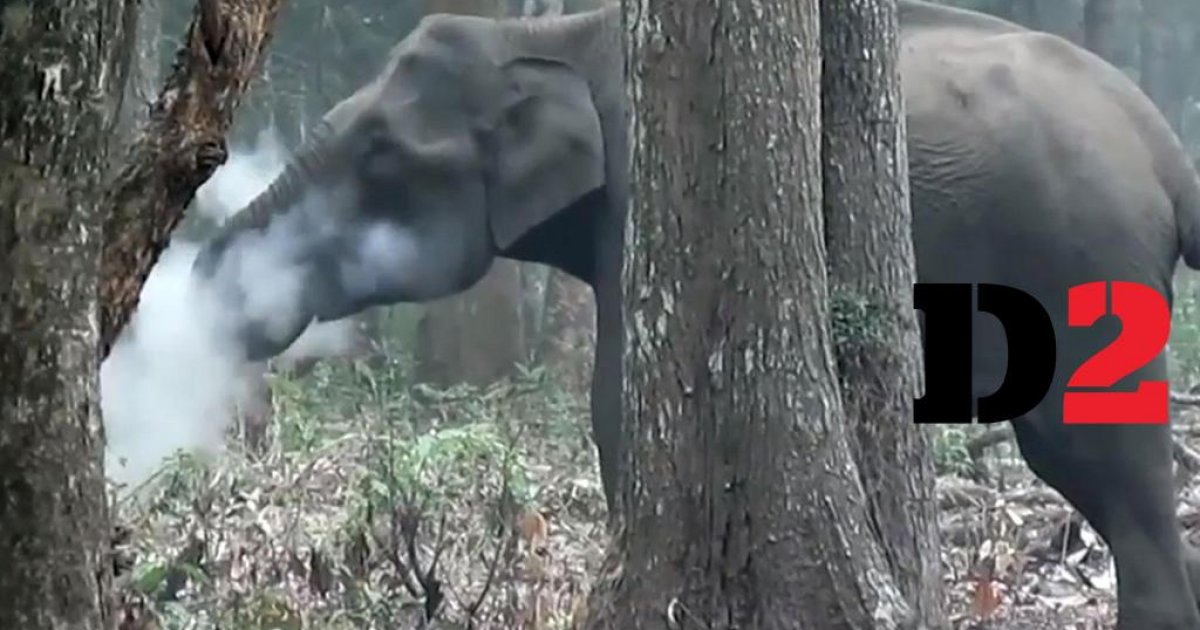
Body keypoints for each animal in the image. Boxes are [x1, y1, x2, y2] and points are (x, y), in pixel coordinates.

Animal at [190, 1, 1200, 627]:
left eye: (380, 158)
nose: (196, 278)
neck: (558, 34)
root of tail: (1164, 145)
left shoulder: (642, 200)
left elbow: (617, 400)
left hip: (1084, 265)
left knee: (1091, 448)